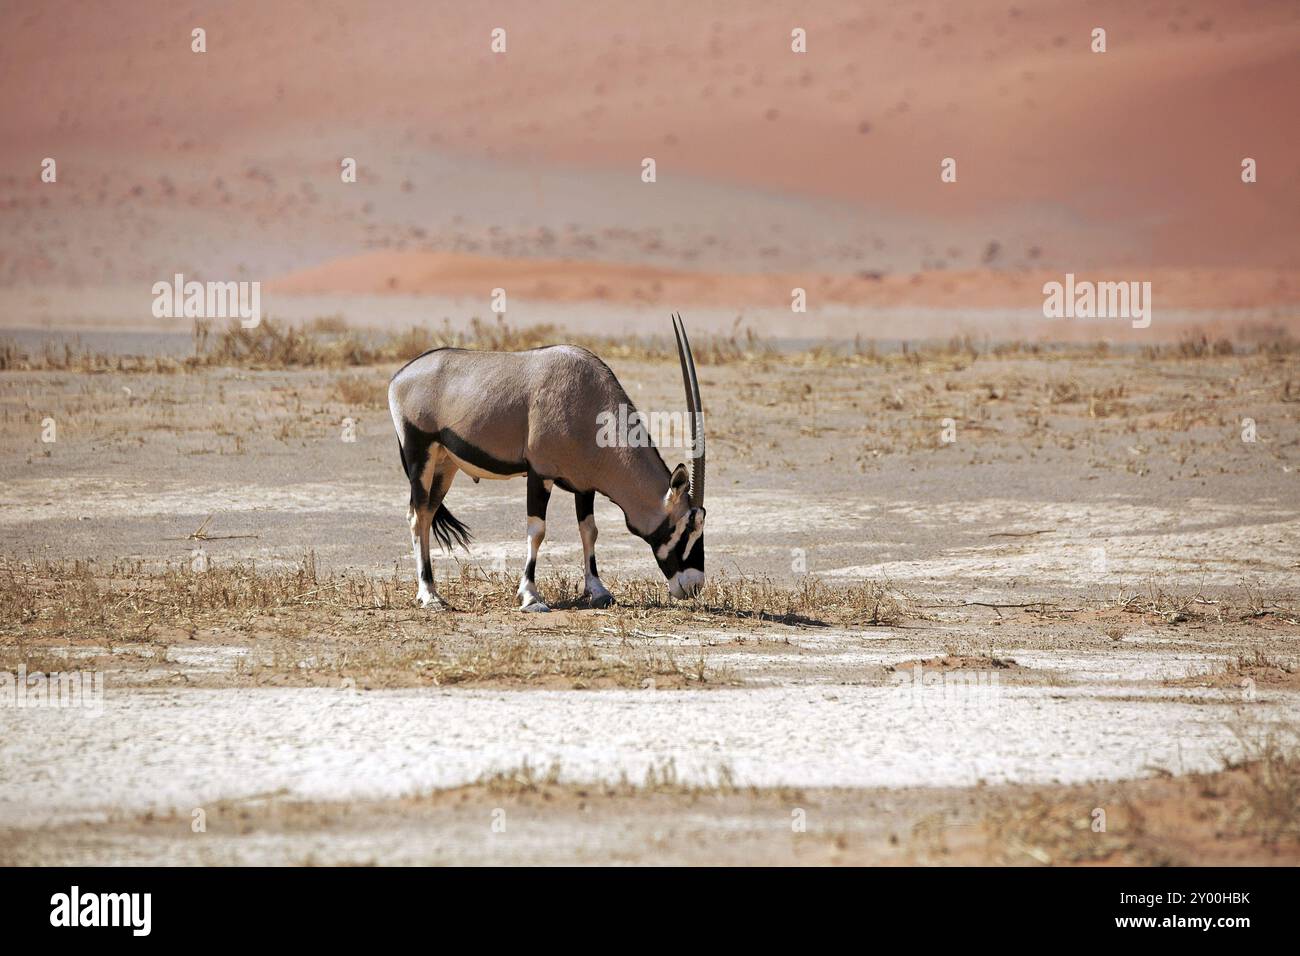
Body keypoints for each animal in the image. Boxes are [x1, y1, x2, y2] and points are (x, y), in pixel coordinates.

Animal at [388, 314, 706, 611]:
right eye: (686, 527)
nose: (694, 586)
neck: (590, 404)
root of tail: (399, 377)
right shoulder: (540, 474)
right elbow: (537, 531)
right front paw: (530, 596)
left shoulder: (584, 486)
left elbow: (590, 530)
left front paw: (598, 590)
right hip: (421, 455)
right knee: (417, 517)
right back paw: (429, 594)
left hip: (445, 465)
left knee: (428, 513)